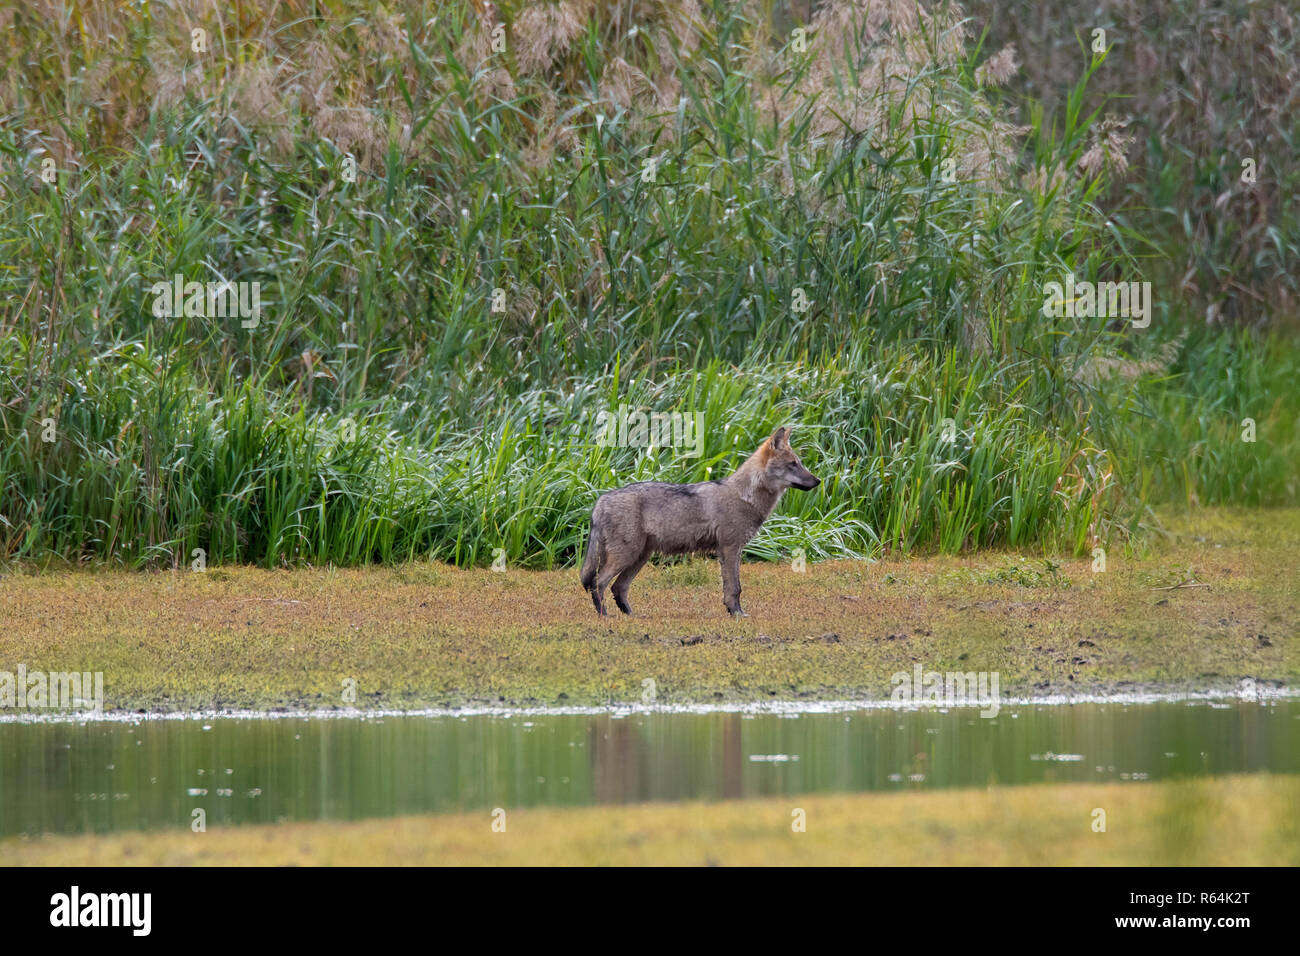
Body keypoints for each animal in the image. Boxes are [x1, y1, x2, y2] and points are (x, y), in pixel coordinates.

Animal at [579, 426, 820, 617]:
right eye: (793, 464)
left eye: (799, 464)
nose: (818, 481)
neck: (746, 496)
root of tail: (600, 501)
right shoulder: (730, 549)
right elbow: (735, 588)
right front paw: (737, 614)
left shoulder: (728, 551)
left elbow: (731, 589)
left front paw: (733, 612)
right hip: (628, 556)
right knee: (598, 583)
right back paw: (605, 616)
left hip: (639, 557)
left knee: (618, 588)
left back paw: (632, 616)